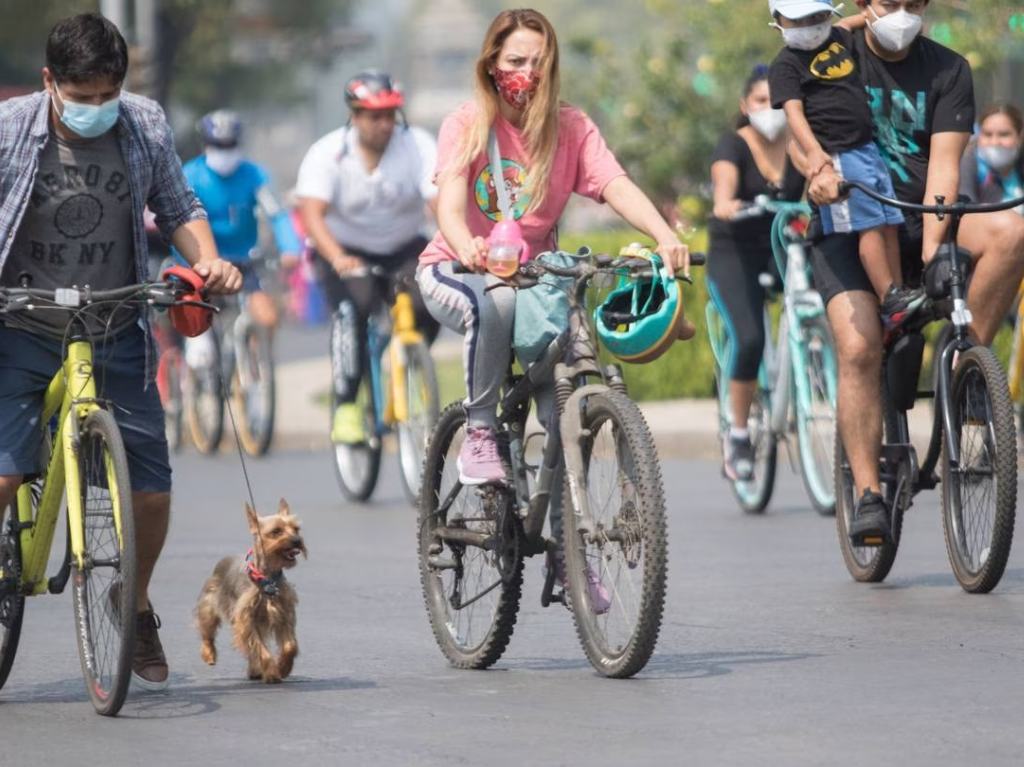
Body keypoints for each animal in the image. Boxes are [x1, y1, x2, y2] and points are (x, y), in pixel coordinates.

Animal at [195, 497, 305, 684]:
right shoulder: (246, 620)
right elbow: (259, 648)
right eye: (276, 531)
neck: (267, 578)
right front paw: (272, 673)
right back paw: (209, 655)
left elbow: (290, 646)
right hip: (209, 605)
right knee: (207, 632)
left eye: (296, 529)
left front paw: (284, 667)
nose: (297, 540)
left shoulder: (284, 614)